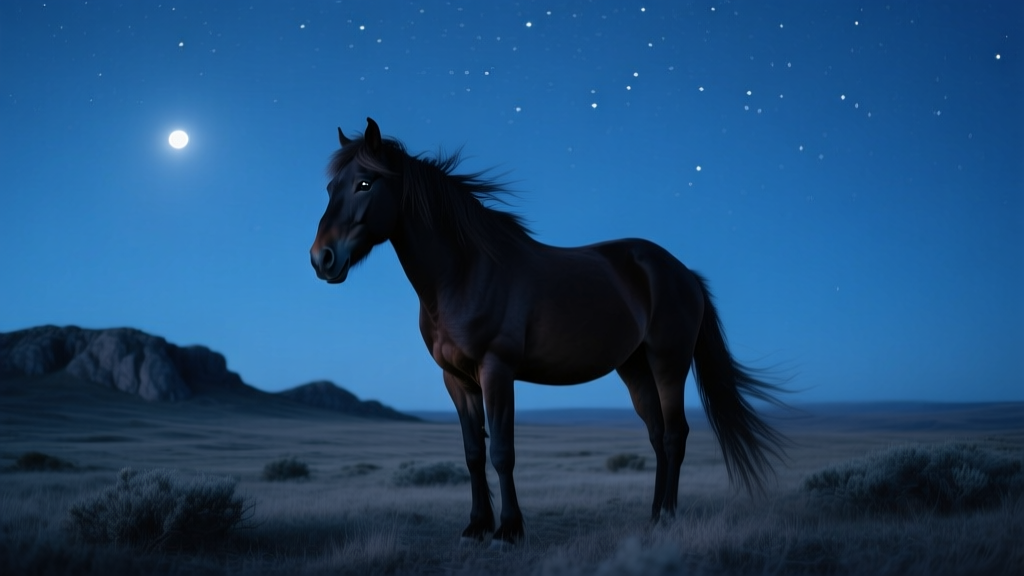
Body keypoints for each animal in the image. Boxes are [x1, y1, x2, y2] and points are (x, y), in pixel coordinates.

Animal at [310, 117, 787, 547]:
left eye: (365, 183)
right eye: (331, 189)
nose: (322, 259)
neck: (463, 273)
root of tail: (682, 271)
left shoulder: (496, 370)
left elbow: (502, 452)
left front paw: (509, 530)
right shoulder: (456, 380)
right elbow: (473, 453)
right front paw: (476, 527)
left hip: (669, 363)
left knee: (674, 435)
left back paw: (668, 517)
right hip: (634, 368)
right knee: (656, 435)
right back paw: (652, 516)